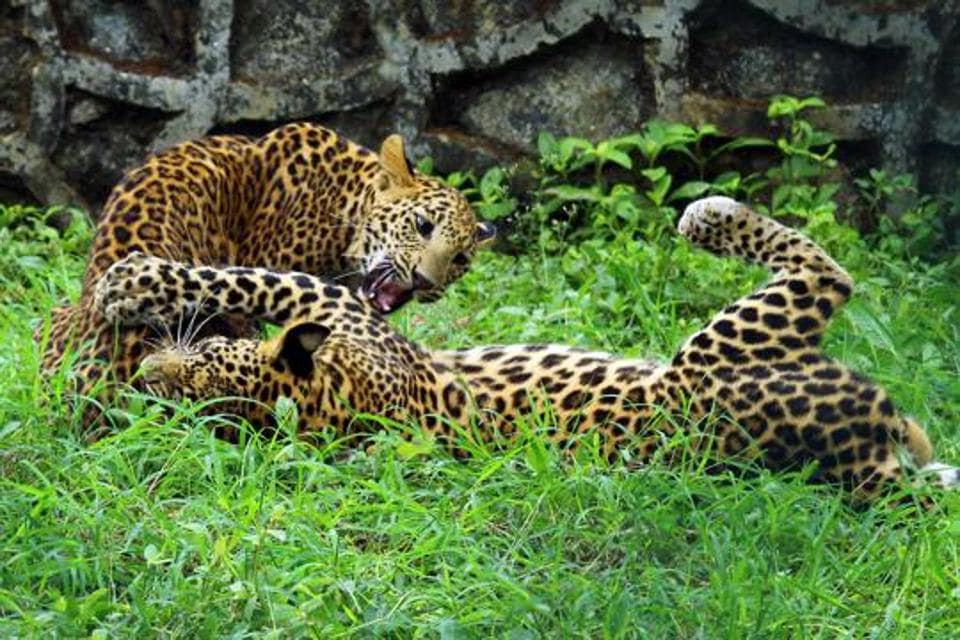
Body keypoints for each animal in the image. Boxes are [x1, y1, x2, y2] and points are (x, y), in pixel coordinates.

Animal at [93, 196, 958, 503]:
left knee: (830, 266)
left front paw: (129, 281)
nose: (146, 371)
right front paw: (132, 290)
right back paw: (708, 214)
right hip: (735, 344)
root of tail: (868, 450)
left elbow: (251, 278)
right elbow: (254, 281)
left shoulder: (340, 307)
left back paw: (706, 213)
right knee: (830, 273)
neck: (336, 396)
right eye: (182, 403)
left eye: (202, 369)